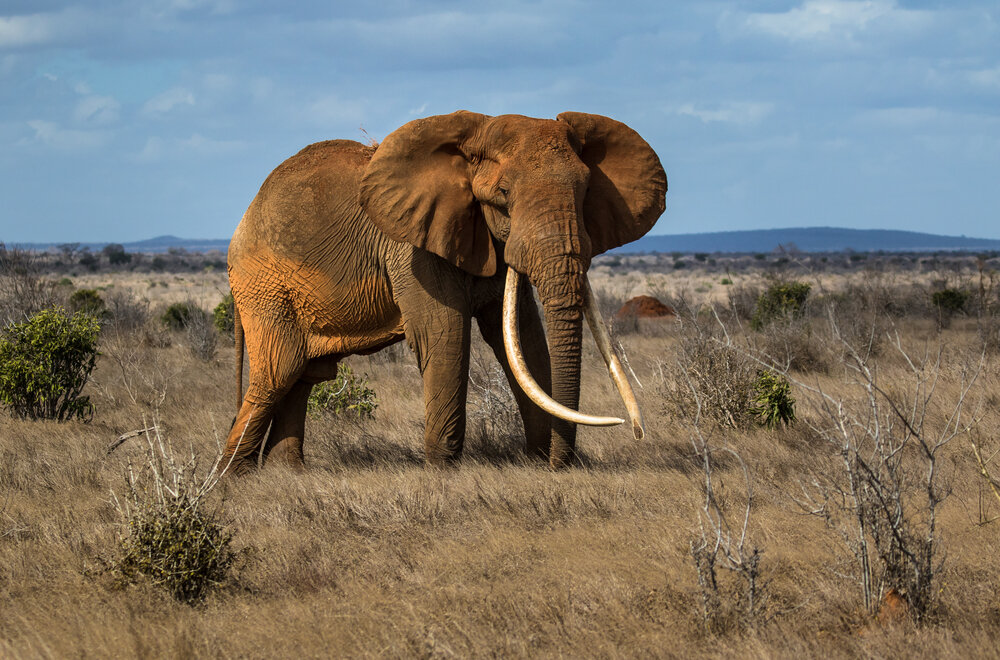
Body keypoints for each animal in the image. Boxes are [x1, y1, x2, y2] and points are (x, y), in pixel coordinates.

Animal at [220, 110, 666, 475]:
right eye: (503, 195)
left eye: (586, 190)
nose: (560, 466)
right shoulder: (412, 249)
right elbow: (444, 333)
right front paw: (441, 471)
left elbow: (522, 337)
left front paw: (539, 460)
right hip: (263, 287)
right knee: (279, 371)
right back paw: (233, 478)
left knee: (304, 375)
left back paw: (287, 474)